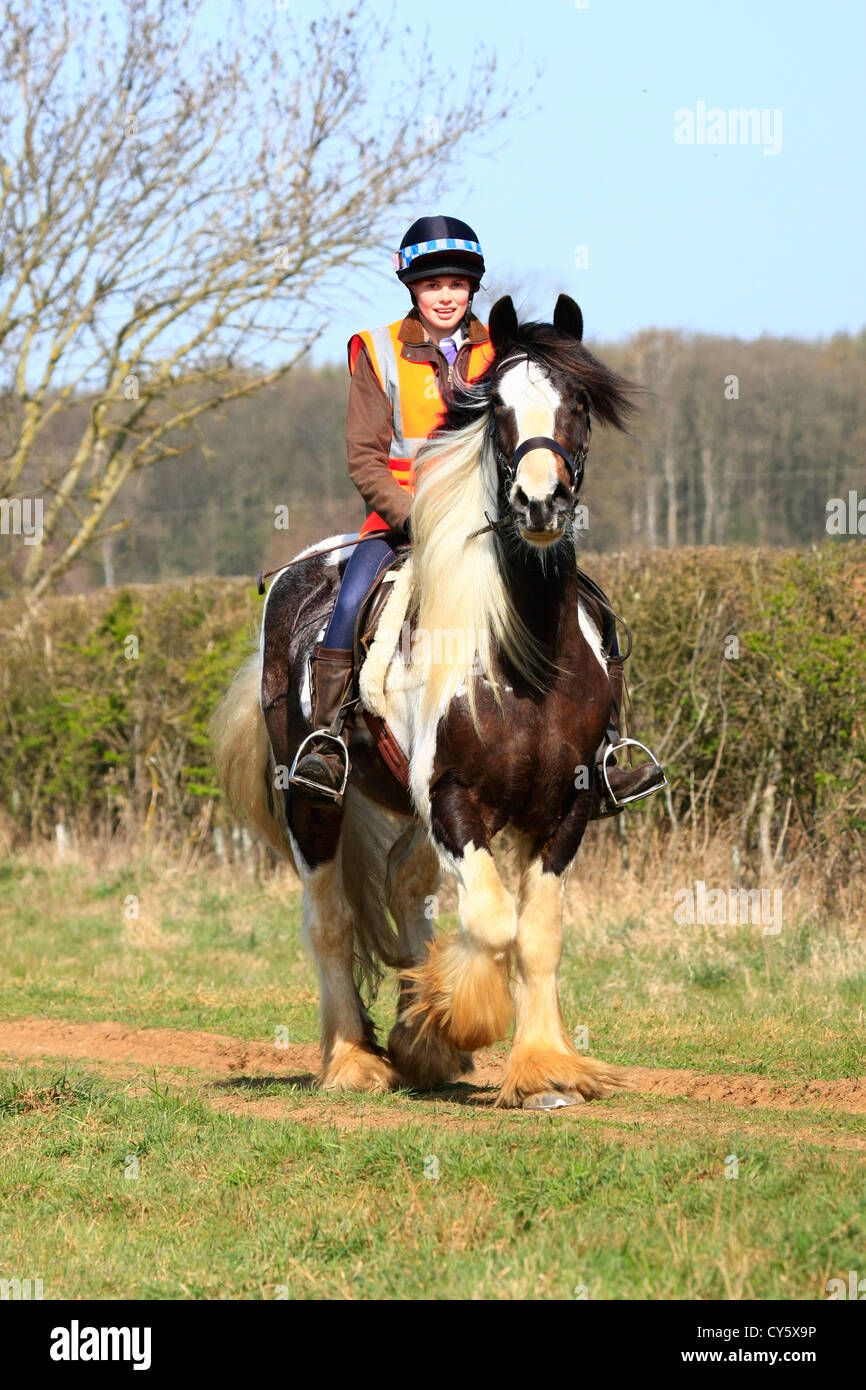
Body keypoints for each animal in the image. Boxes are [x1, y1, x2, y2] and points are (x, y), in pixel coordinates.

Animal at [210, 293, 638, 1109]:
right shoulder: (452, 797)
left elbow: (537, 936)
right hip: (312, 802)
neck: (524, 654)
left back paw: (415, 1034)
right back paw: (355, 1058)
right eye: (495, 407)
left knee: (406, 889)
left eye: (578, 403)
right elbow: (494, 923)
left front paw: (544, 1066)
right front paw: (455, 1019)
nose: (540, 502)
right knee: (331, 921)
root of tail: (294, 574)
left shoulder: (565, 809)